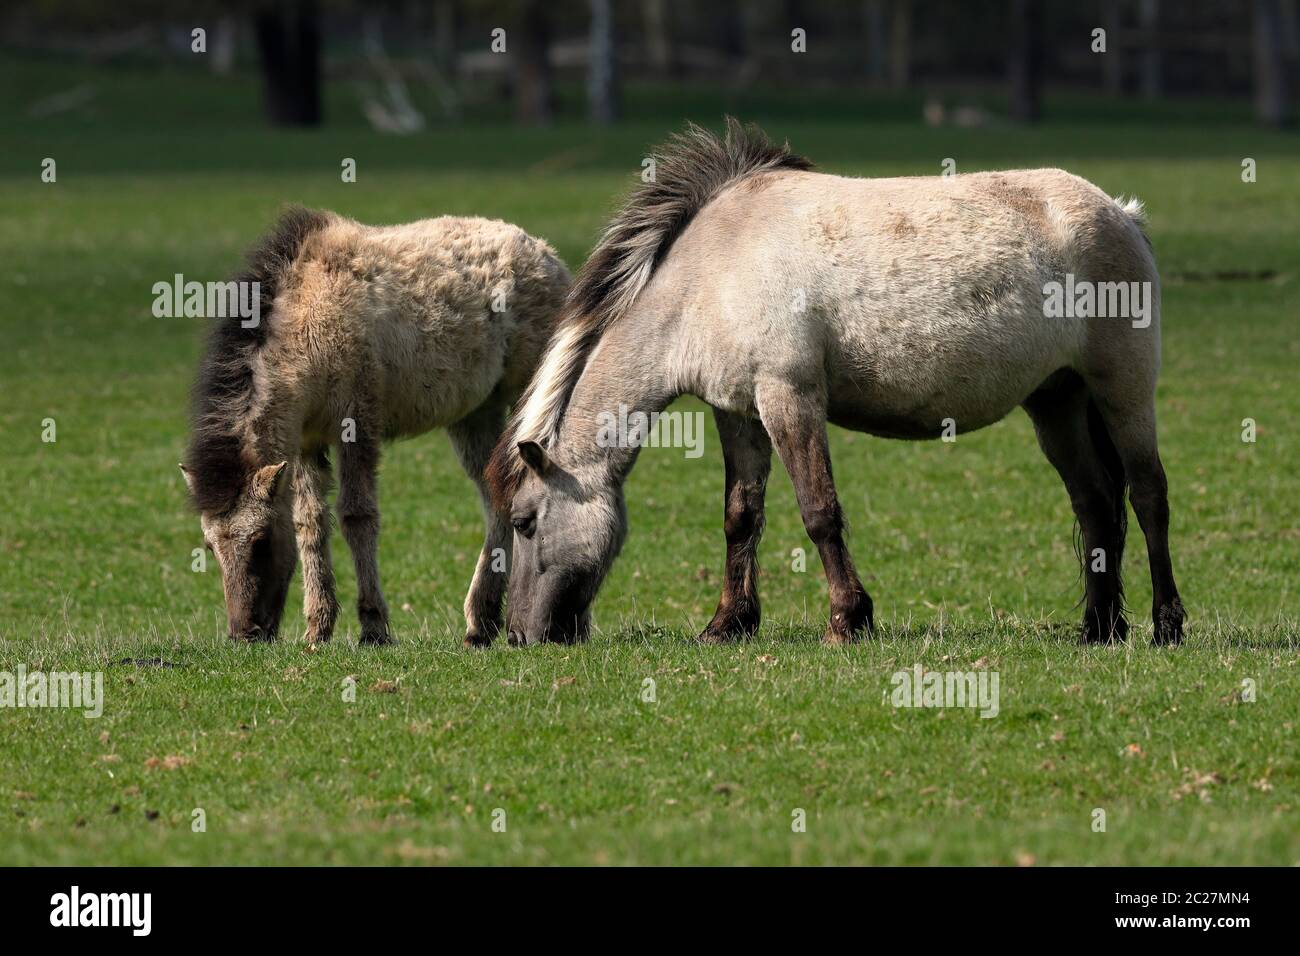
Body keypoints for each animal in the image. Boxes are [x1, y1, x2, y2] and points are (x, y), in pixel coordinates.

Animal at [182, 206, 570, 645]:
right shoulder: (306, 442)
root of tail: (548, 256)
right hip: (475, 415)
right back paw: (481, 622)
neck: (307, 320)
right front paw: (317, 629)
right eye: (210, 547)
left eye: (261, 541)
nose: (243, 633)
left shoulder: (358, 425)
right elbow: (310, 522)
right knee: (497, 496)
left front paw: (373, 626)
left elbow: (357, 515)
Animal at [486, 118, 1185, 648]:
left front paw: (848, 620)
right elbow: (741, 515)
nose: (518, 635)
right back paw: (1098, 628)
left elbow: (819, 512)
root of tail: (1123, 215)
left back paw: (1165, 625)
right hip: (1057, 400)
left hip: (1122, 388)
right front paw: (727, 625)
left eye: (524, 522)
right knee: (1094, 502)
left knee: (1147, 494)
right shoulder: (738, 412)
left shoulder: (789, 397)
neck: (709, 273)